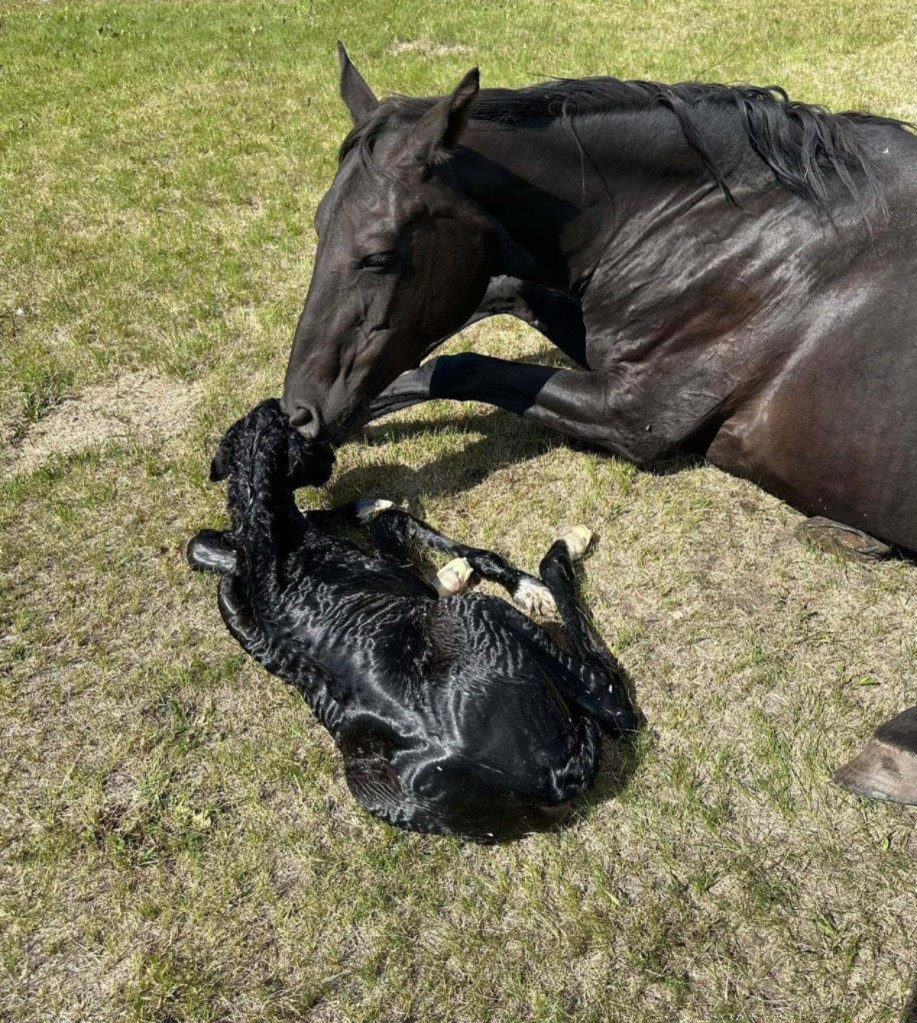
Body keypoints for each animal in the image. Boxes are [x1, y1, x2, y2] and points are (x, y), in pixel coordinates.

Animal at [281, 45, 916, 557]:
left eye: (377, 256)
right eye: (317, 226)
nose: (298, 412)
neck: (730, 223)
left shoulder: (634, 414)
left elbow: (456, 366)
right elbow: (505, 291)